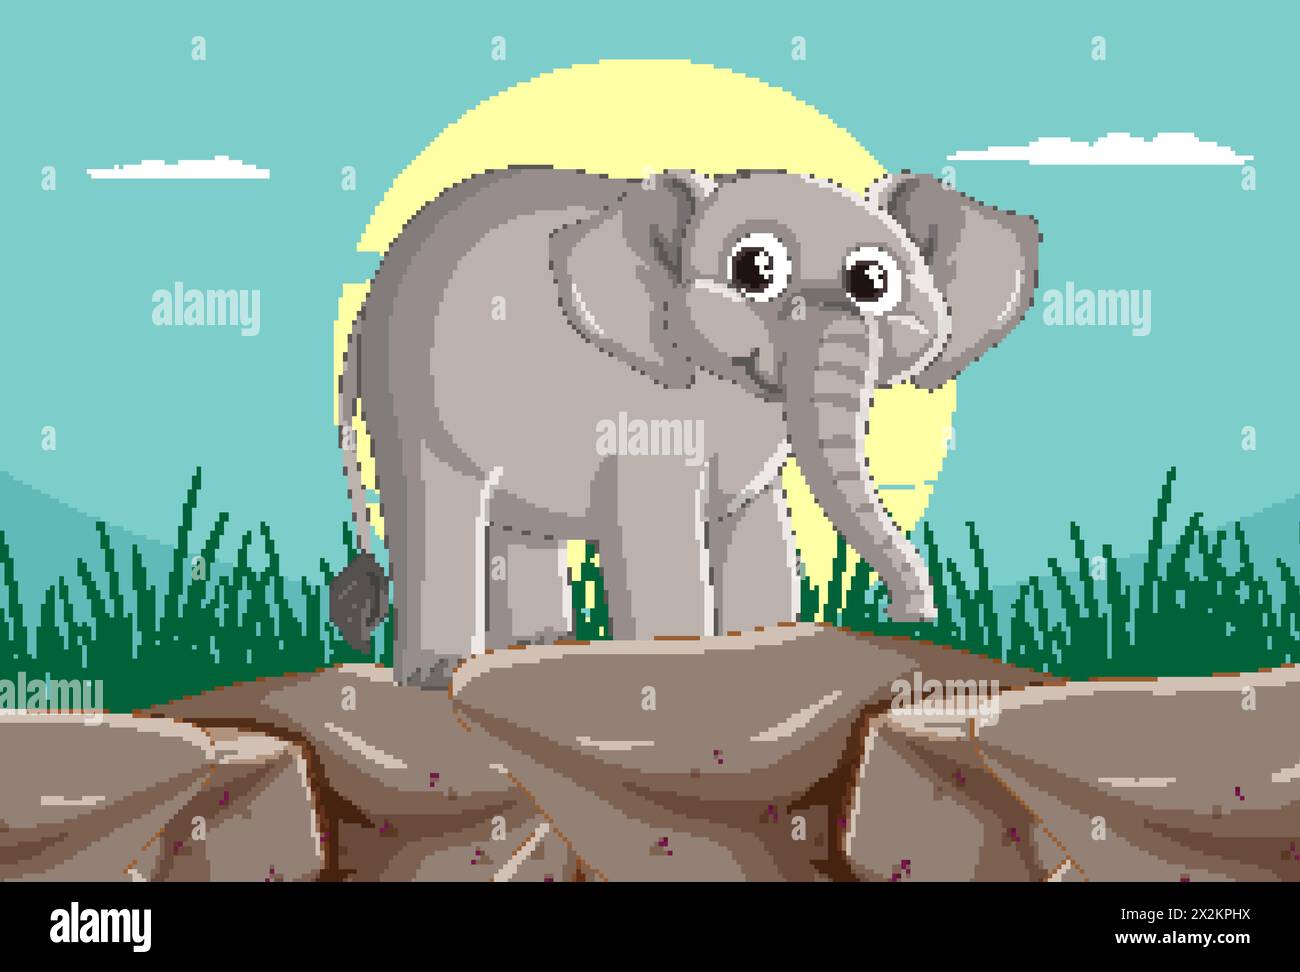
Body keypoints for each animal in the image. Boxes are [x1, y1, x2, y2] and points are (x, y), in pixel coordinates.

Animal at [330, 166, 1040, 688]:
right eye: (754, 269)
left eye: (874, 281)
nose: (908, 613)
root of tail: (367, 302)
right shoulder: (647, 421)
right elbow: (657, 531)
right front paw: (672, 659)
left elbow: (757, 529)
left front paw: (759, 645)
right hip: (407, 393)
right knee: (435, 504)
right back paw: (440, 674)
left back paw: (543, 645)